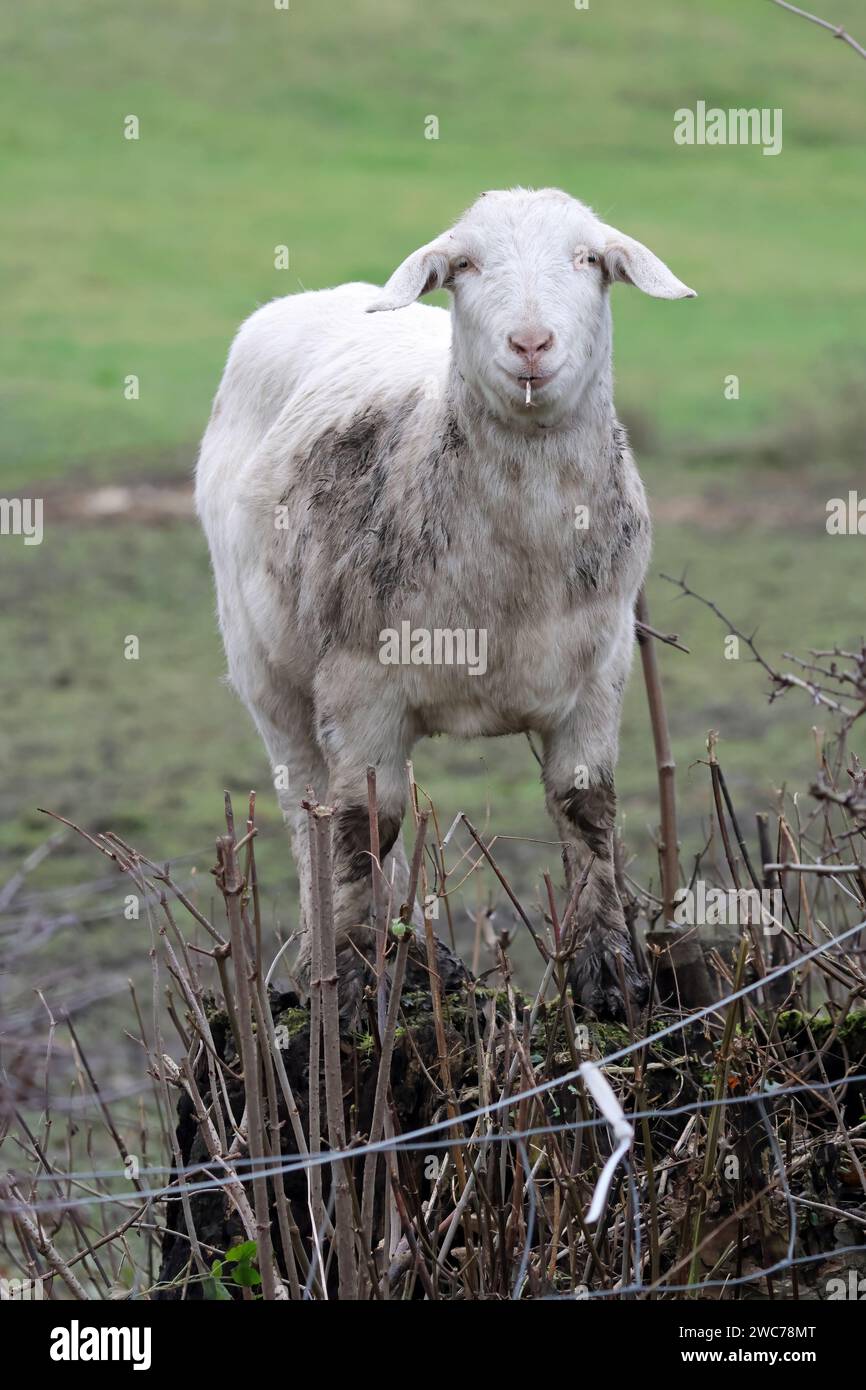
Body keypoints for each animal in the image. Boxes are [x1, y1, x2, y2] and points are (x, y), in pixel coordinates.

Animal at [195, 187, 696, 1020]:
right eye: (464, 266)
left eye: (589, 259)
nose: (531, 343)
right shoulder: (358, 684)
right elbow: (364, 826)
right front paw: (354, 989)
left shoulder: (600, 672)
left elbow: (585, 806)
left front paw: (610, 974)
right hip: (266, 669)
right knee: (311, 811)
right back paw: (335, 960)